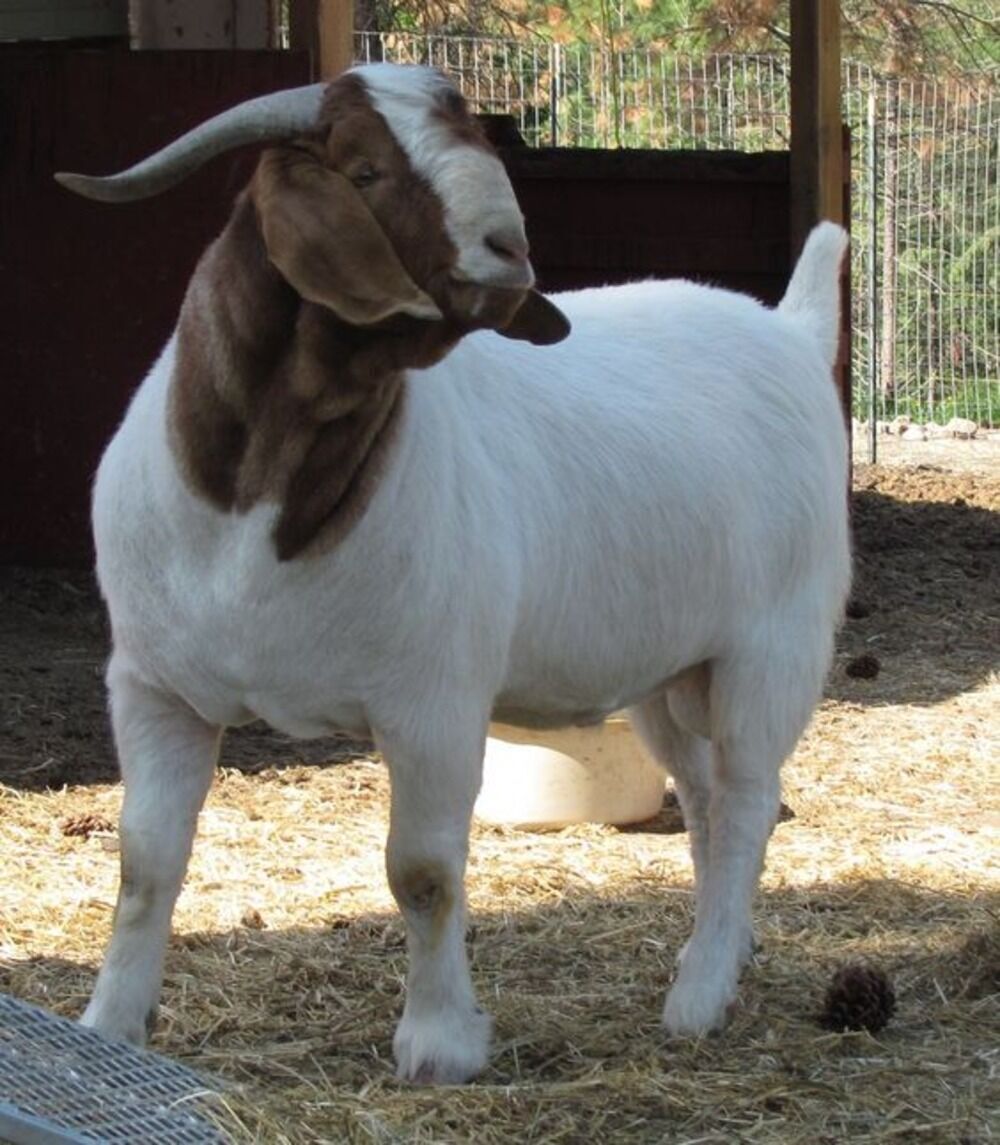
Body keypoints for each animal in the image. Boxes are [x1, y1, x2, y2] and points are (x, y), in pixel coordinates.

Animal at [57, 63, 851, 1085]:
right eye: (363, 169)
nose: (510, 252)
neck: (263, 507)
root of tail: (790, 332)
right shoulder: (155, 686)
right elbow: (144, 860)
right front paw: (108, 1024)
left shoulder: (432, 700)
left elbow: (423, 872)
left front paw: (440, 1041)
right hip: (673, 671)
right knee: (708, 796)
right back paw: (721, 949)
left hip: (773, 646)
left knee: (752, 796)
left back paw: (700, 995)